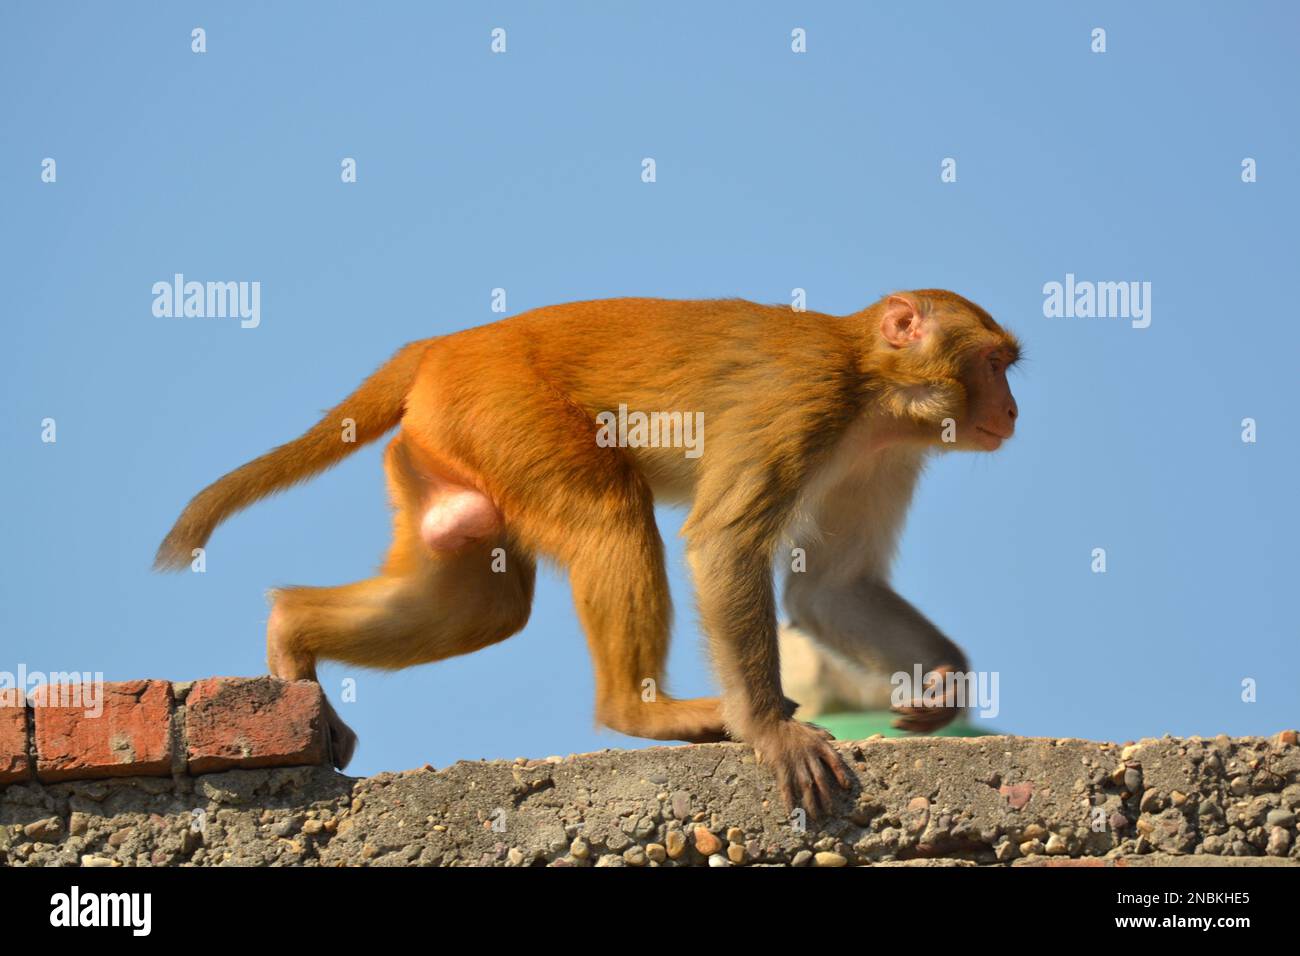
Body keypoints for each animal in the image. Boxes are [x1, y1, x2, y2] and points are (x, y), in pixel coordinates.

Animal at [155, 289, 1020, 817]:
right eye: (992, 363)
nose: (1011, 410)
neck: (872, 384)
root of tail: (444, 344)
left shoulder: (883, 453)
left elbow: (833, 587)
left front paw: (942, 681)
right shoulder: (806, 403)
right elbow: (725, 542)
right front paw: (770, 731)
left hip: (451, 447)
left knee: (481, 603)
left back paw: (290, 633)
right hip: (506, 410)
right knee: (610, 516)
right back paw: (639, 710)